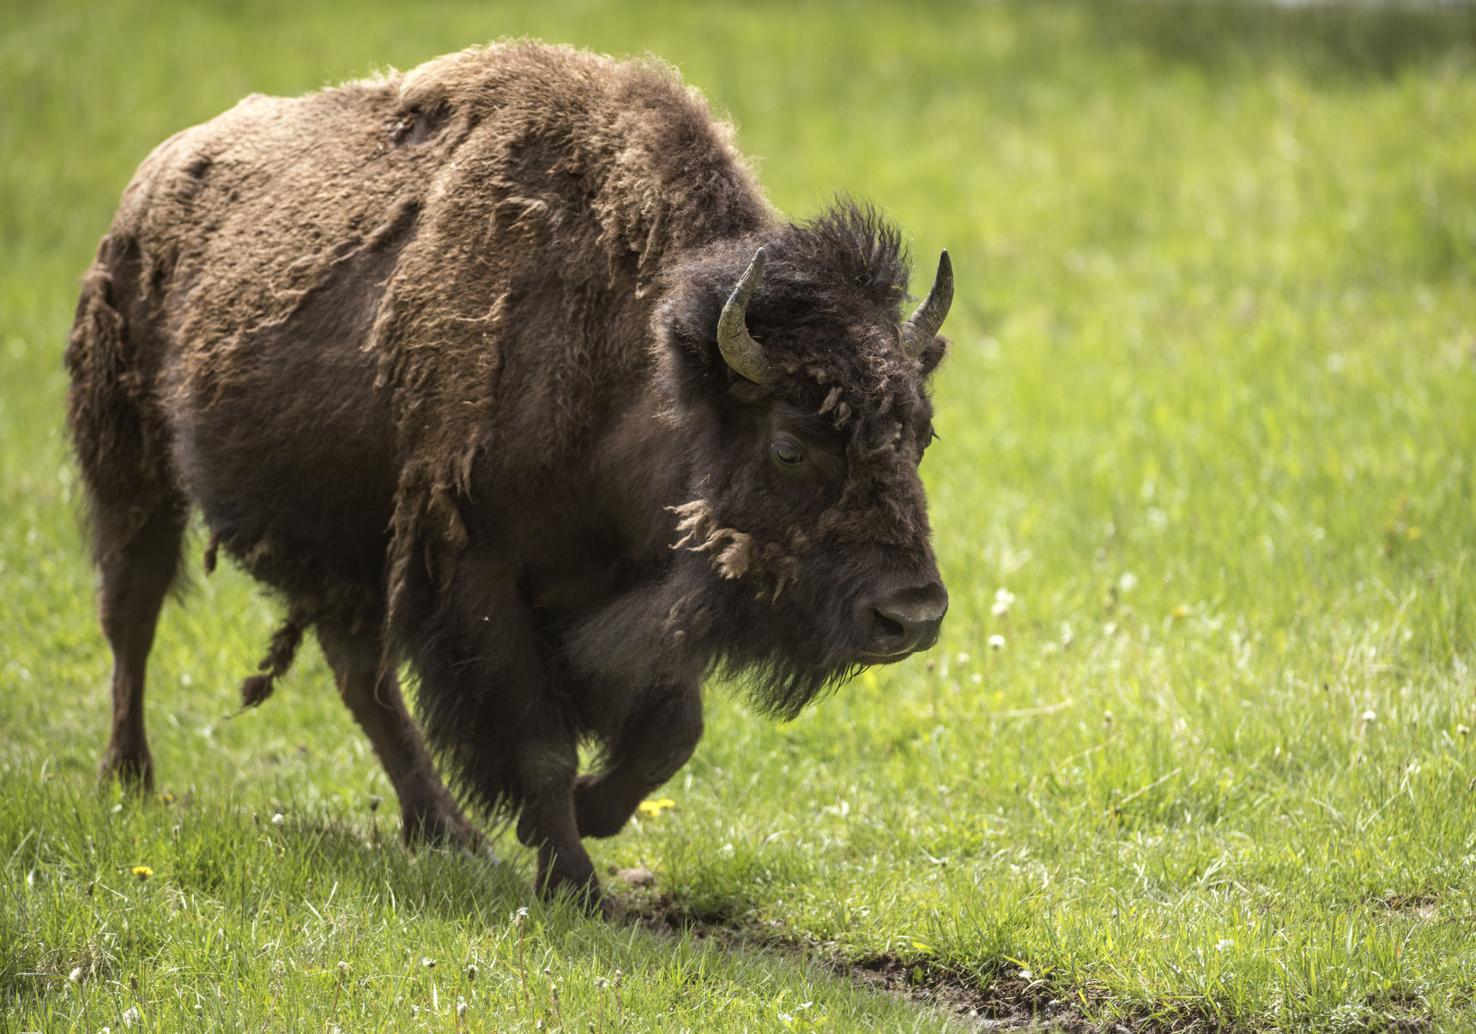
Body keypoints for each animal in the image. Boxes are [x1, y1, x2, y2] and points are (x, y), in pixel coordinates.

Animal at [67, 42, 953, 906]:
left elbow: (672, 730)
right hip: (134, 477)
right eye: (790, 446)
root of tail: (147, 187)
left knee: (362, 677)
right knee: (133, 619)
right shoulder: (482, 582)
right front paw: (573, 881)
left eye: (920, 434)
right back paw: (130, 781)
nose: (911, 615)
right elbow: (541, 745)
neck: (636, 371)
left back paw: (446, 830)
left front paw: (588, 817)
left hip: (349, 555)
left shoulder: (649, 589)